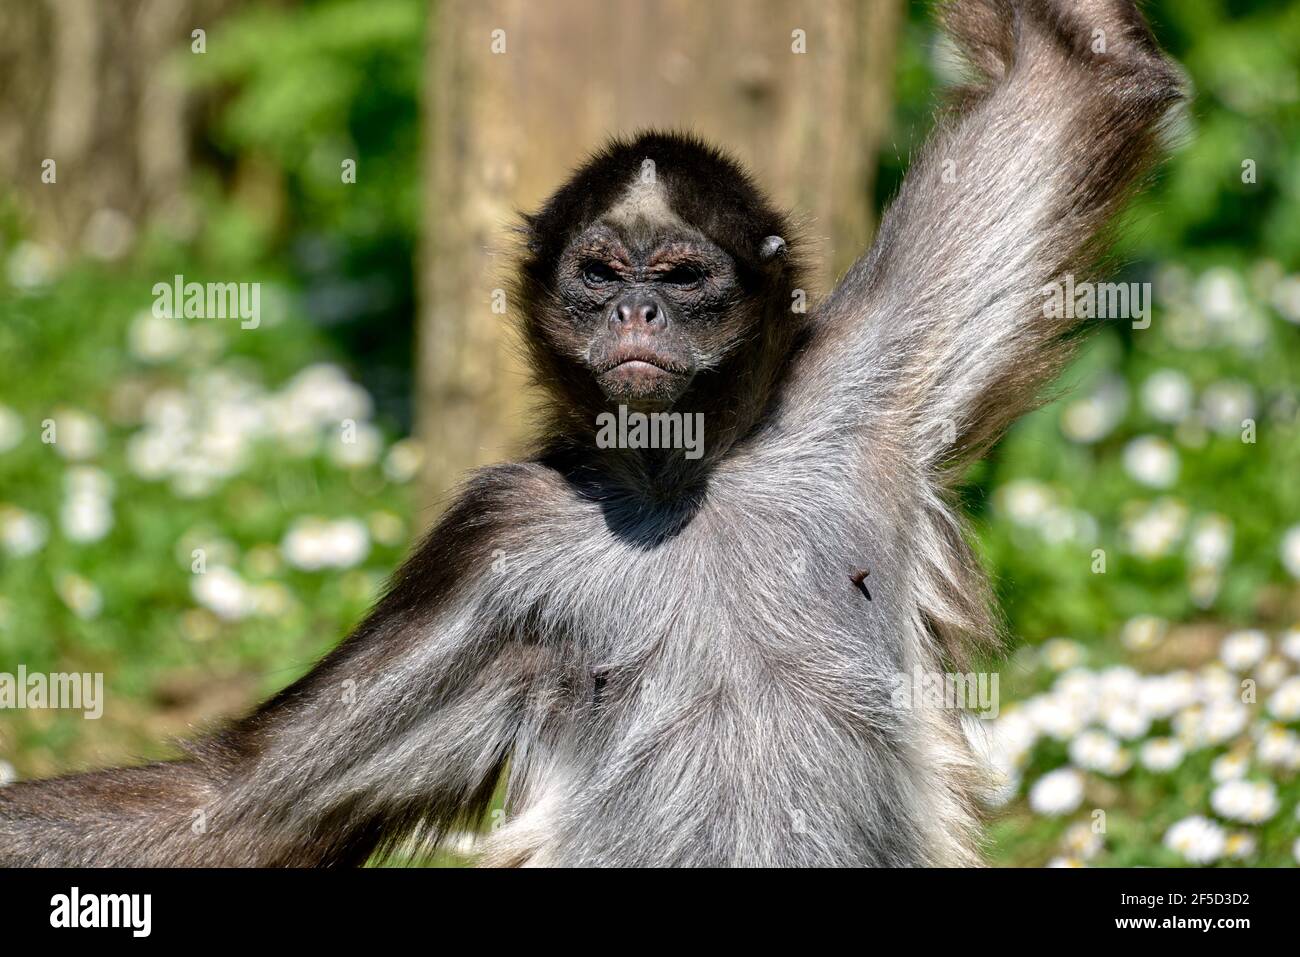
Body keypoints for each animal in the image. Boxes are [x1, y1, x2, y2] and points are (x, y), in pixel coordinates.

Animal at [0, 0, 1184, 867]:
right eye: (600, 274)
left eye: (681, 277)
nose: (636, 314)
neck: (676, 486)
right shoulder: (499, 534)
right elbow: (238, 805)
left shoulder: (851, 395)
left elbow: (1073, 66)